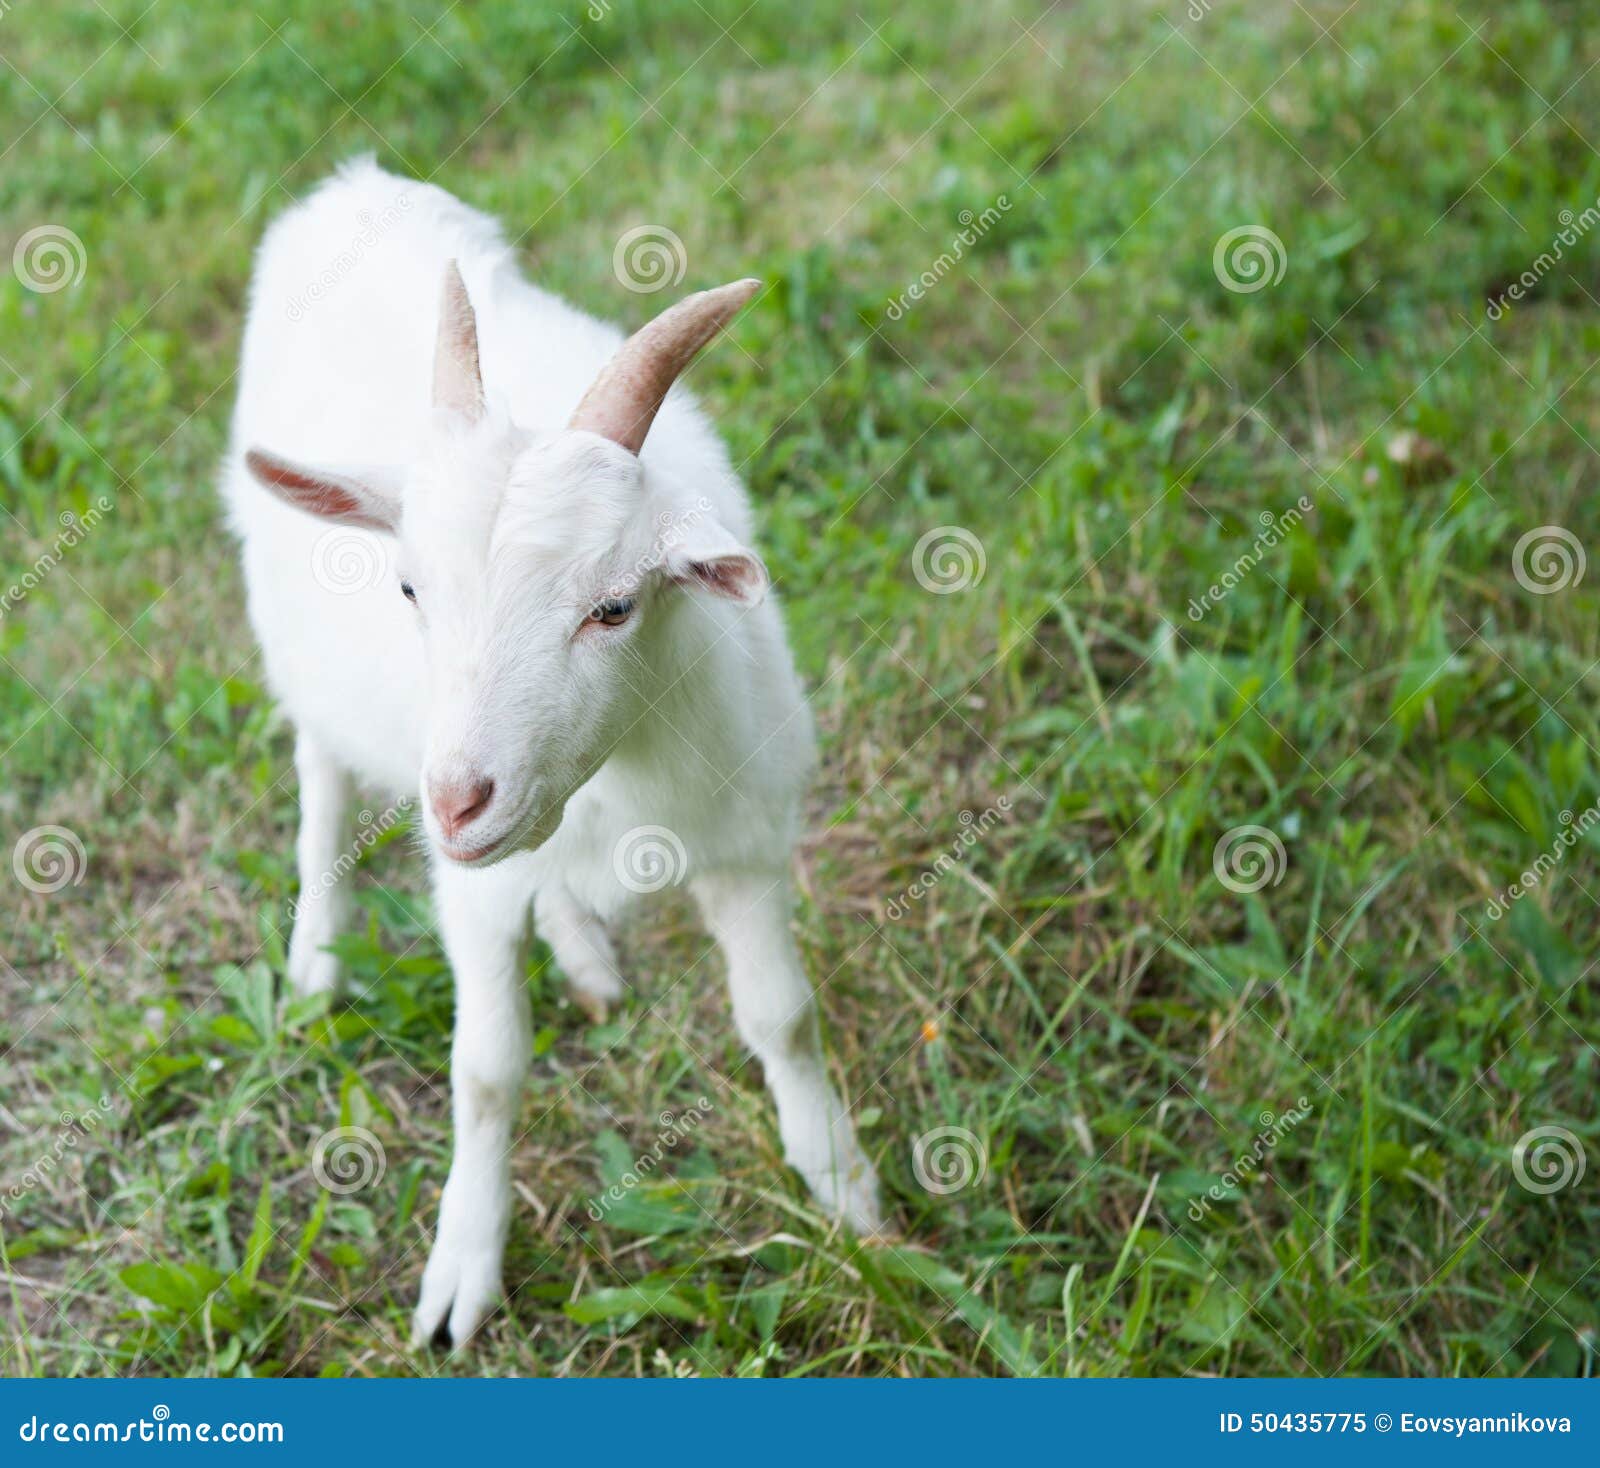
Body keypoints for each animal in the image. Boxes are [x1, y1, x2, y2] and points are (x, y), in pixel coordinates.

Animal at [222, 159, 883, 1347]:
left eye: (613, 606)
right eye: (408, 587)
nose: (455, 803)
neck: (613, 782)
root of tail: (357, 184)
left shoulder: (748, 842)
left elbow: (783, 1017)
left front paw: (844, 1188)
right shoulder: (471, 893)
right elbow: (486, 1071)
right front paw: (460, 1272)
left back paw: (583, 955)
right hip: (296, 654)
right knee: (321, 773)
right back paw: (318, 956)